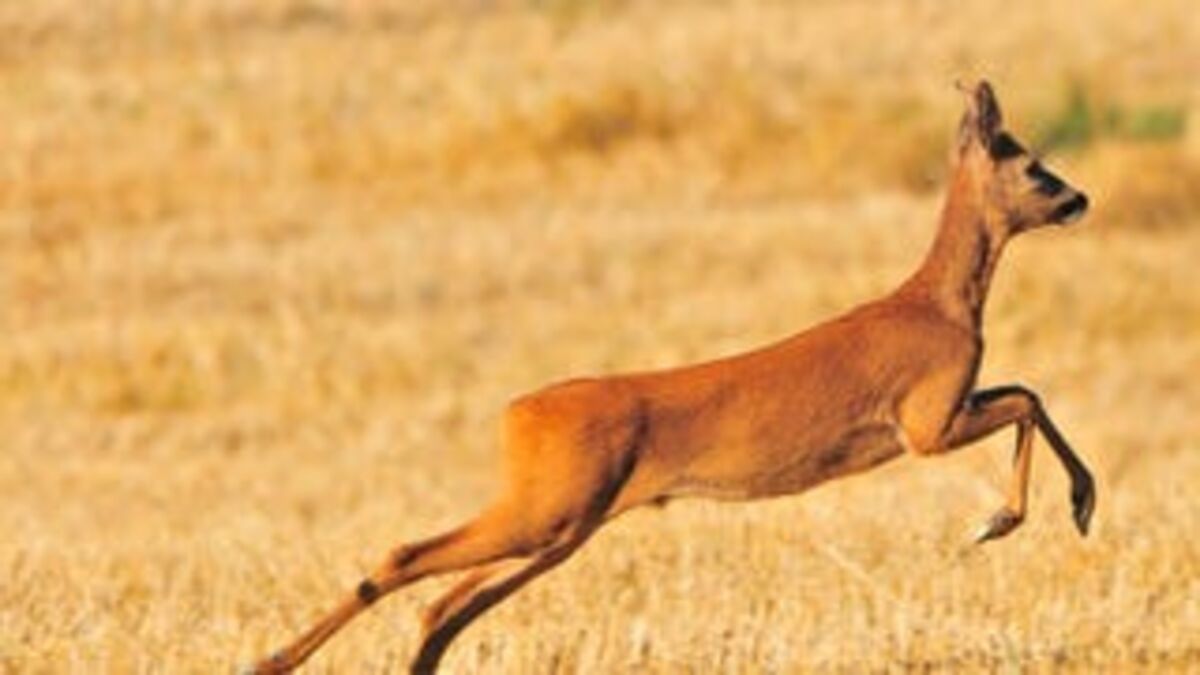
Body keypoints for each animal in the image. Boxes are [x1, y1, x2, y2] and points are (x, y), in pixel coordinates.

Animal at [249, 80, 1095, 674]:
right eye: (1034, 167)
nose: (1080, 198)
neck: (942, 302)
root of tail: (515, 413)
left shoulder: (945, 409)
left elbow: (1029, 390)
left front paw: (1062, 508)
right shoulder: (926, 420)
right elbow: (1027, 397)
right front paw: (1008, 518)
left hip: (563, 521)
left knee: (447, 604)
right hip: (551, 509)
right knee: (410, 562)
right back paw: (271, 657)